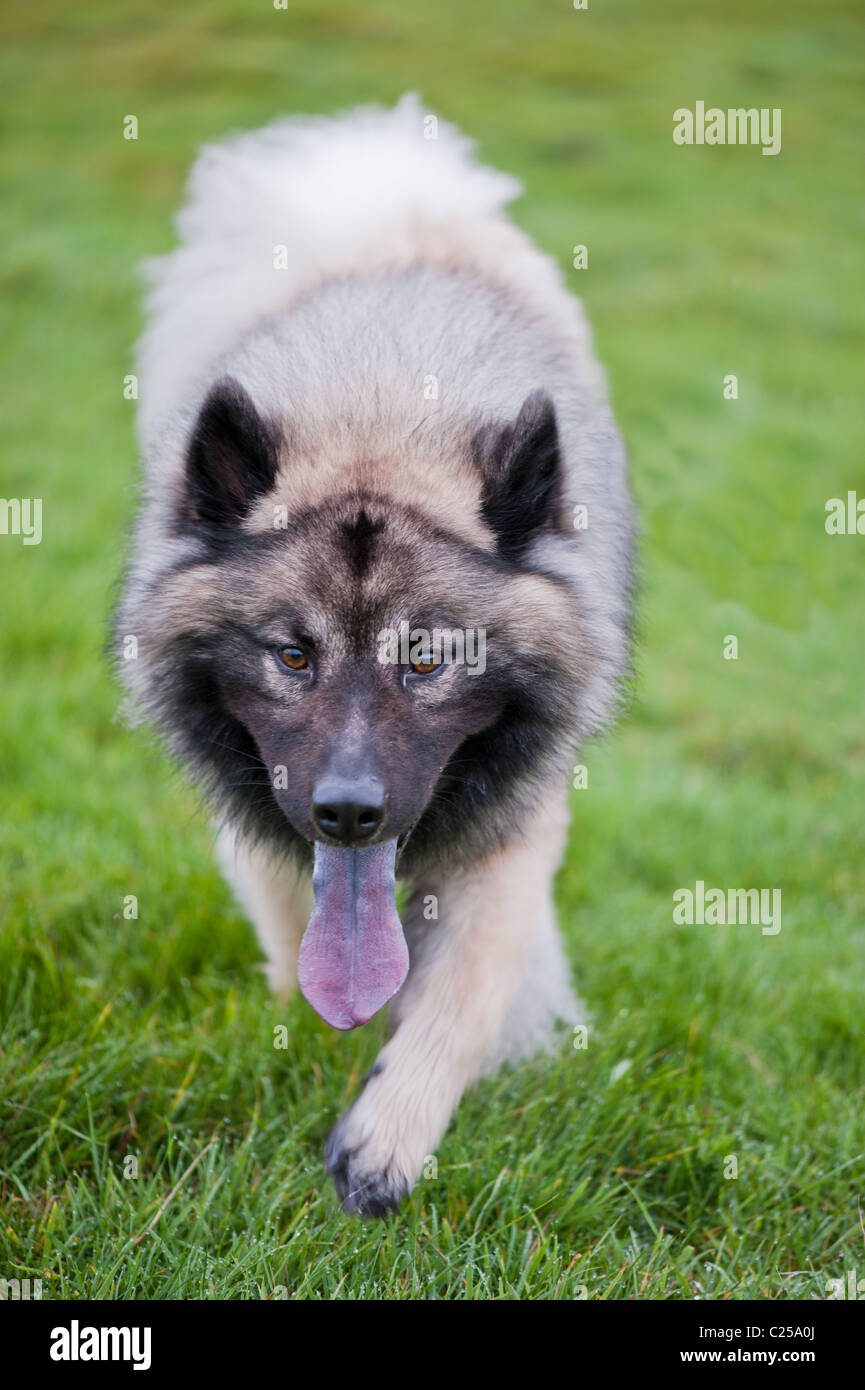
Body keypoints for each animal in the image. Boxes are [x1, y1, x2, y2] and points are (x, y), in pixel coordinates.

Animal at [115, 94, 635, 1216]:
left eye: (430, 657)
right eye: (292, 654)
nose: (349, 812)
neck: (378, 420)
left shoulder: (513, 833)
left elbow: (462, 999)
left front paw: (387, 1137)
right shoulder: (266, 824)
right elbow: (295, 948)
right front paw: (305, 1037)